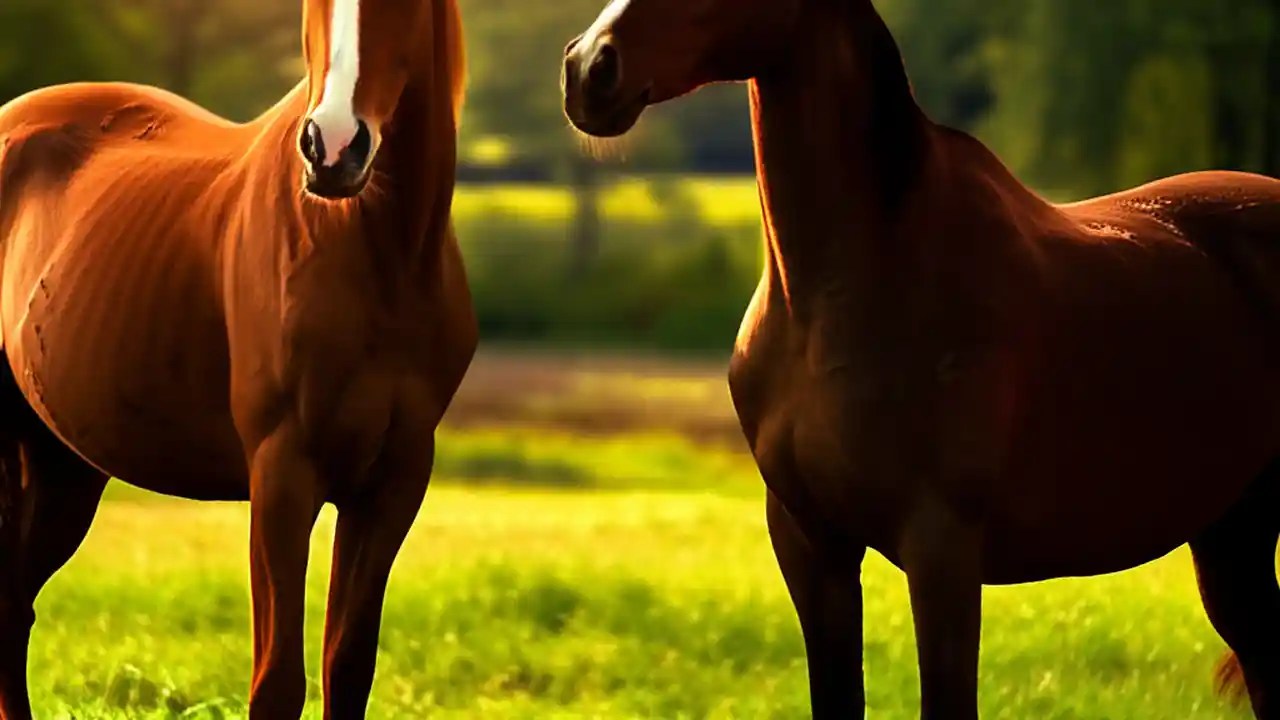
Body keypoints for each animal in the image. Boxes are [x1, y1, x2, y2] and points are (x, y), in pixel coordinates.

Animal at [0, 0, 474, 717]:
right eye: (312, 5)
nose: (333, 149)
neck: (373, 252)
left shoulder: (392, 486)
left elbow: (348, 668)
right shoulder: (282, 476)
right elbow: (277, 681)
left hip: (62, 466)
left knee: (13, 607)